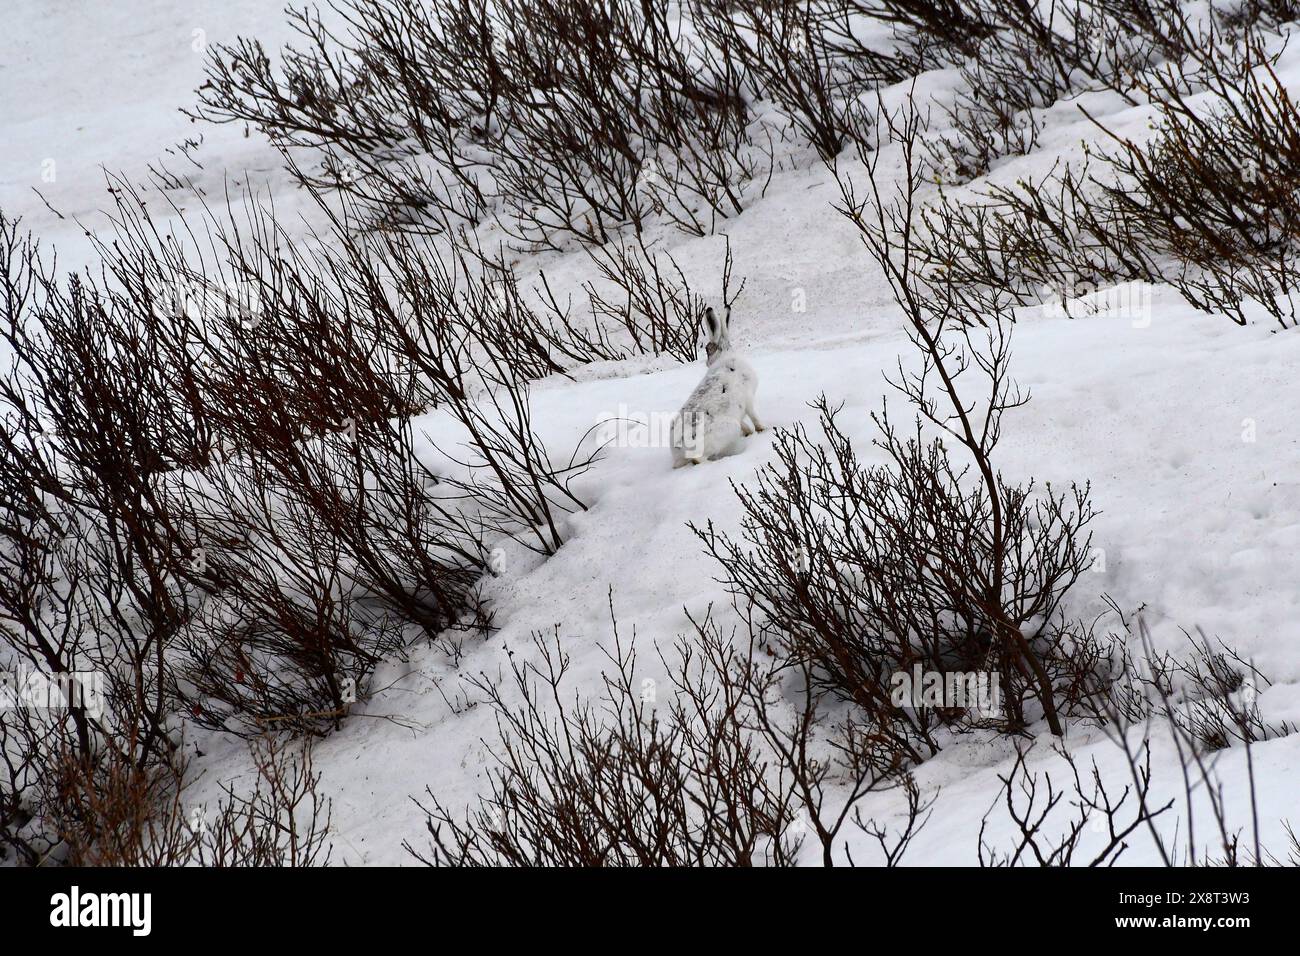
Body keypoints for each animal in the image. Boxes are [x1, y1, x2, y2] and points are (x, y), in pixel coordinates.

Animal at [671, 305, 764, 468]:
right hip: (727, 430)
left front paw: (749, 433)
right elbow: (754, 417)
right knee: (698, 460)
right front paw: (762, 430)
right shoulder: (748, 400)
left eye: (707, 350)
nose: (707, 363)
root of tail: (680, 446)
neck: (725, 356)